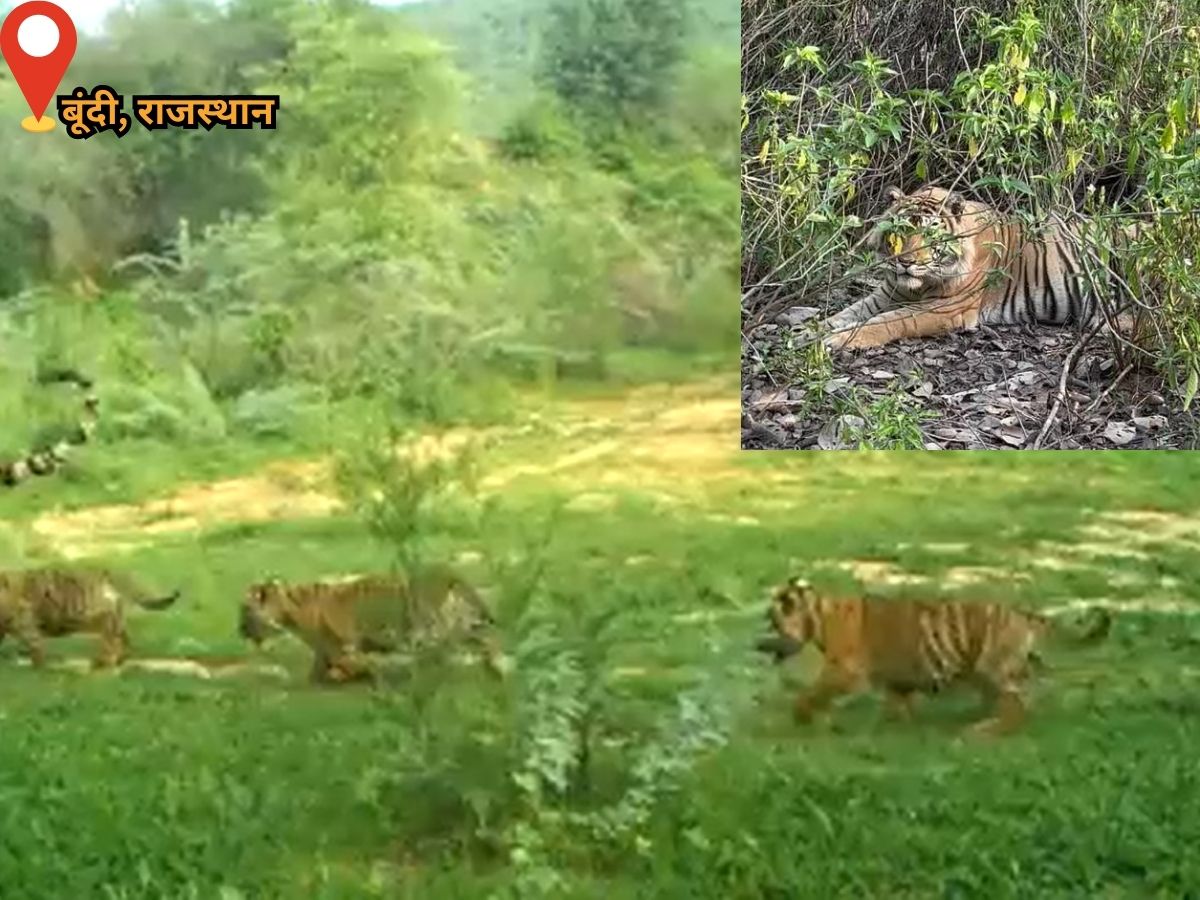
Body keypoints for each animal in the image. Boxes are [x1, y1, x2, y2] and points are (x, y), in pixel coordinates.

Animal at [0, 567, 180, 669]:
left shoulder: (26, 623)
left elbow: (35, 648)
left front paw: (38, 668)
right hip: (108, 618)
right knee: (122, 638)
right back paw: (116, 660)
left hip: (99, 616)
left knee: (113, 640)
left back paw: (105, 663)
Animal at [239, 564, 508, 685]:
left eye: (245, 611)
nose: (240, 630)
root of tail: (448, 572)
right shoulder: (324, 652)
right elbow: (316, 674)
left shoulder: (346, 646)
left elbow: (349, 666)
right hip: (461, 625)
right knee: (485, 639)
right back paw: (493, 667)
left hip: (432, 628)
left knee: (453, 648)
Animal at [757, 576, 1111, 736]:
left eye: (772, 622)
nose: (757, 645)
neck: (818, 617)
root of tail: (1023, 612)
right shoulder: (896, 677)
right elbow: (897, 702)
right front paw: (895, 727)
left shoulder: (843, 671)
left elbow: (810, 694)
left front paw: (800, 717)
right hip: (999, 667)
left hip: (992, 667)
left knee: (1017, 706)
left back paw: (983, 730)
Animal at [820, 184, 1138, 352]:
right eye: (900, 231)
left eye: (931, 234)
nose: (906, 262)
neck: (918, 286)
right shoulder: (887, 294)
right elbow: (845, 314)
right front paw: (815, 330)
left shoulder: (946, 309)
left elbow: (887, 322)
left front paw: (838, 339)